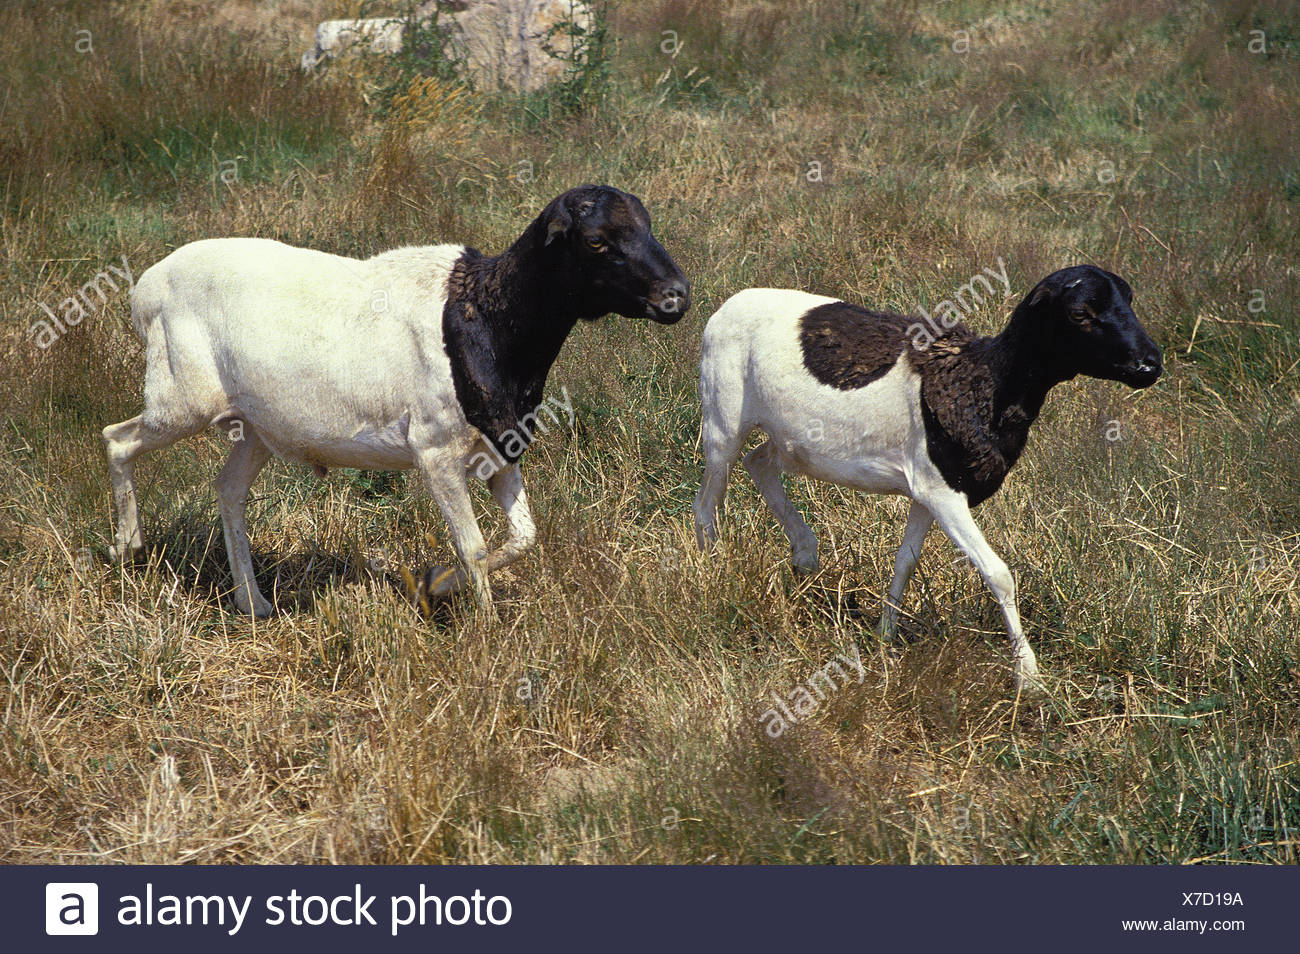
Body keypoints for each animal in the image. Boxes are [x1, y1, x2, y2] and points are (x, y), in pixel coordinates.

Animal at [103, 185, 690, 617]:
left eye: (647, 225)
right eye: (596, 240)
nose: (676, 296)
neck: (485, 315)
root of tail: (145, 289)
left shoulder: (500, 447)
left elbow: (524, 537)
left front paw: (437, 585)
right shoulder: (436, 452)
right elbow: (474, 546)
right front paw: (487, 632)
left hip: (258, 427)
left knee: (227, 488)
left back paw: (254, 604)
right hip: (181, 398)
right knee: (117, 440)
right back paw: (126, 548)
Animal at [692, 265, 1162, 690]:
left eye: (1129, 299)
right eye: (1081, 313)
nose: (1149, 365)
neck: (985, 380)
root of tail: (729, 305)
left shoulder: (924, 493)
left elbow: (906, 561)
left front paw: (884, 637)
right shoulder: (944, 493)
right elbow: (998, 573)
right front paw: (1029, 676)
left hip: (788, 441)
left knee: (759, 463)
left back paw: (805, 556)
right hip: (722, 421)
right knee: (708, 499)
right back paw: (712, 572)